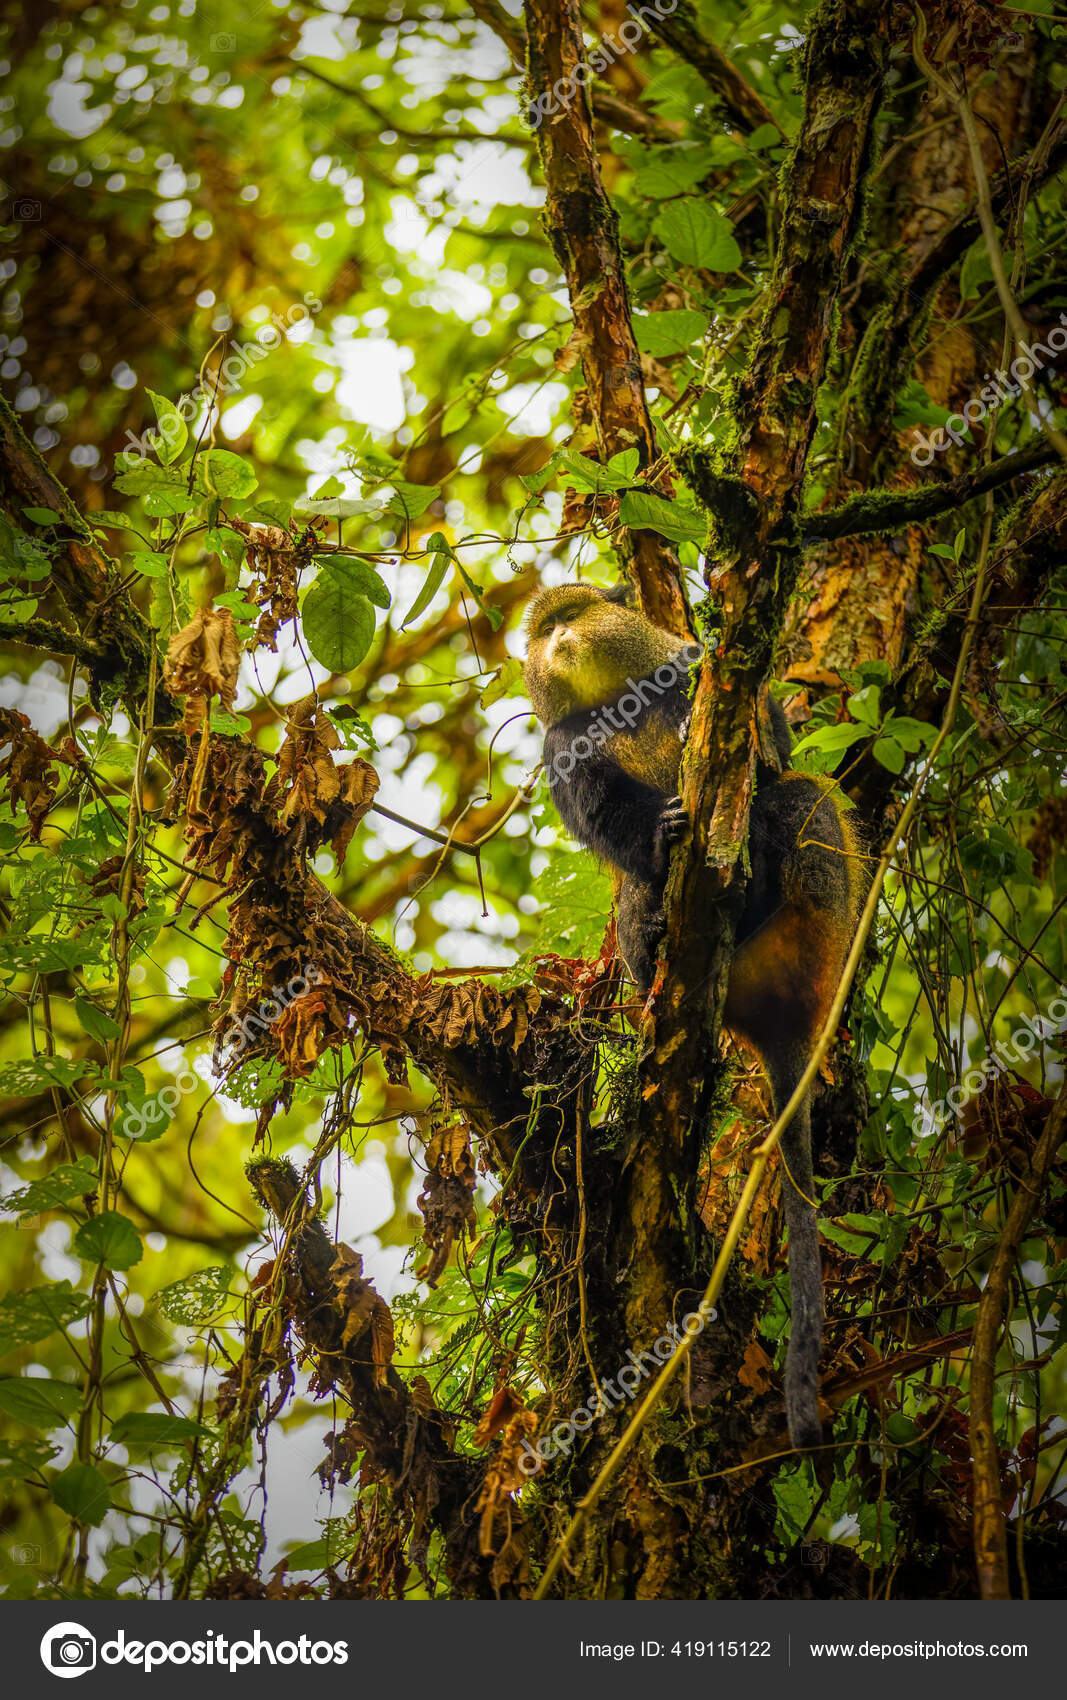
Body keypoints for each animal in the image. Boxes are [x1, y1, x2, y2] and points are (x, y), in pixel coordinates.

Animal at [523, 582, 862, 1452]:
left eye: (570, 615)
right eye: (543, 632)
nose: (560, 638)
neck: (616, 700)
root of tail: (781, 1027)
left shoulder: (690, 668)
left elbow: (771, 737)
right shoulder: (560, 745)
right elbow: (609, 821)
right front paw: (659, 831)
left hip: (820, 912)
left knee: (795, 794)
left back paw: (750, 880)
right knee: (636, 892)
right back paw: (657, 931)